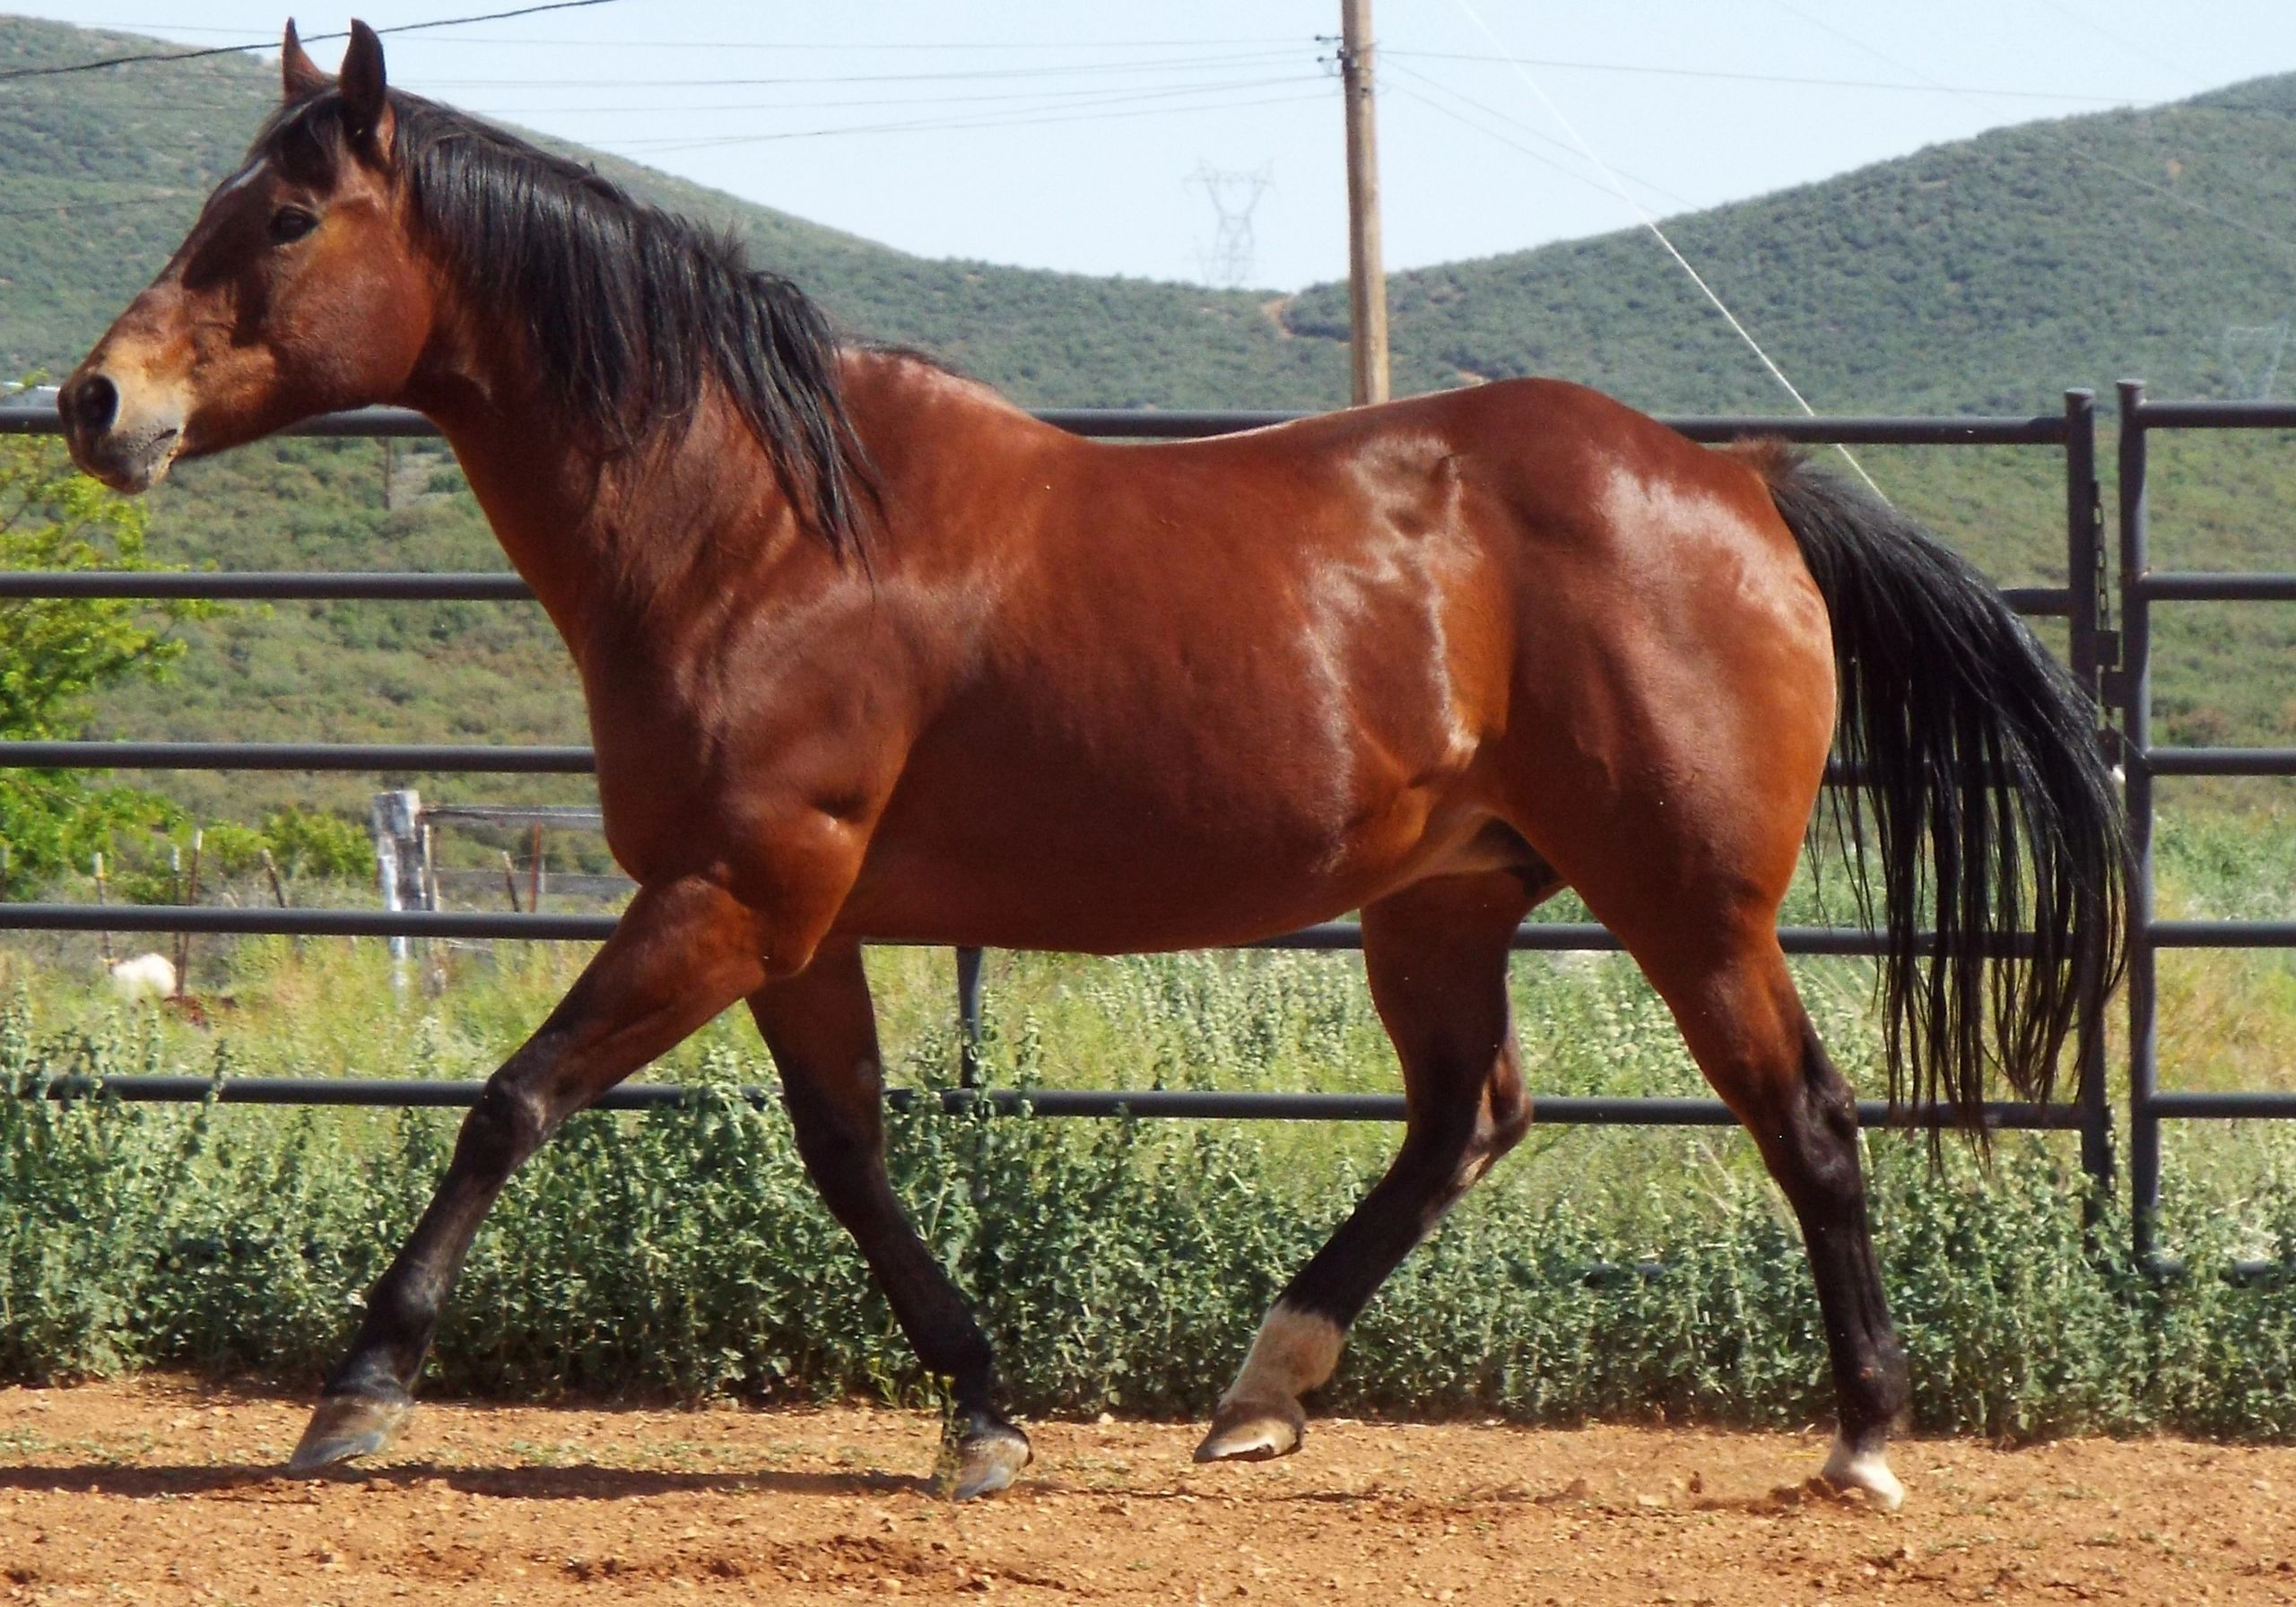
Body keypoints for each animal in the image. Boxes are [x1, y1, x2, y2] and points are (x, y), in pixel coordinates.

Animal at [61, 21, 2124, 1508]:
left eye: (284, 224)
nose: (97, 401)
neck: (767, 526)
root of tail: (1733, 478)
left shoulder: (735, 889)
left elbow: (509, 1101)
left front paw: (356, 1394)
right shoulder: (794, 921)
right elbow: (850, 1153)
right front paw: (981, 1411)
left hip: (1690, 903)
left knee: (1808, 1123)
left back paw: (1859, 1443)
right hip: (1444, 898)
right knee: (1464, 1119)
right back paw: (1260, 1389)